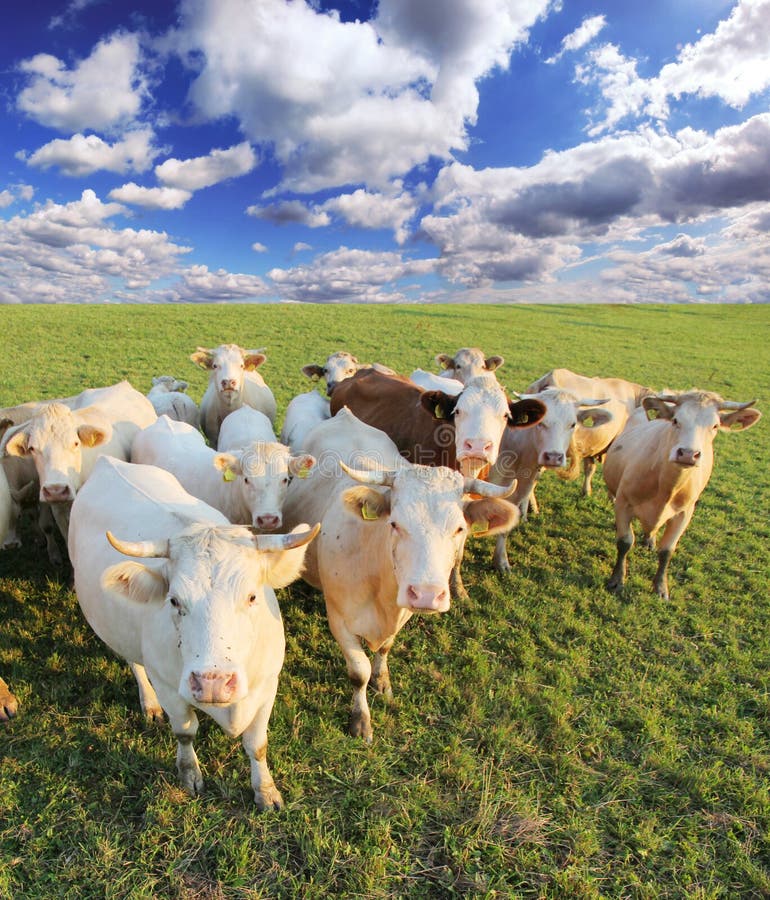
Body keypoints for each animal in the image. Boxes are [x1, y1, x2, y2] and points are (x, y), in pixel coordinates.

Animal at [68, 455, 319, 809]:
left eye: (252, 597)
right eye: (174, 600)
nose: (212, 683)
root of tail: (108, 460)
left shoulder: (269, 683)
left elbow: (257, 744)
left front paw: (266, 791)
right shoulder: (168, 685)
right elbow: (185, 731)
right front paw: (189, 775)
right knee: (135, 663)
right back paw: (149, 704)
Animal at [281, 408, 519, 742]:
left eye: (459, 528)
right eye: (394, 523)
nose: (428, 595)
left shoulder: (402, 612)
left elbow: (384, 649)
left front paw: (382, 682)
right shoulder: (339, 618)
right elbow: (359, 671)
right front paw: (361, 720)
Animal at [488, 388, 614, 572]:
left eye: (572, 424)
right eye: (541, 423)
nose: (554, 457)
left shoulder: (520, 489)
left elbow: (505, 527)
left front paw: (501, 561)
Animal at [603, 391, 760, 599]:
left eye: (715, 426)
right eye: (676, 420)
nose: (687, 454)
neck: (666, 487)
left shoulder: (684, 514)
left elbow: (667, 550)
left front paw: (661, 587)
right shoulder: (624, 503)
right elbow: (625, 542)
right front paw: (617, 580)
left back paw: (650, 540)